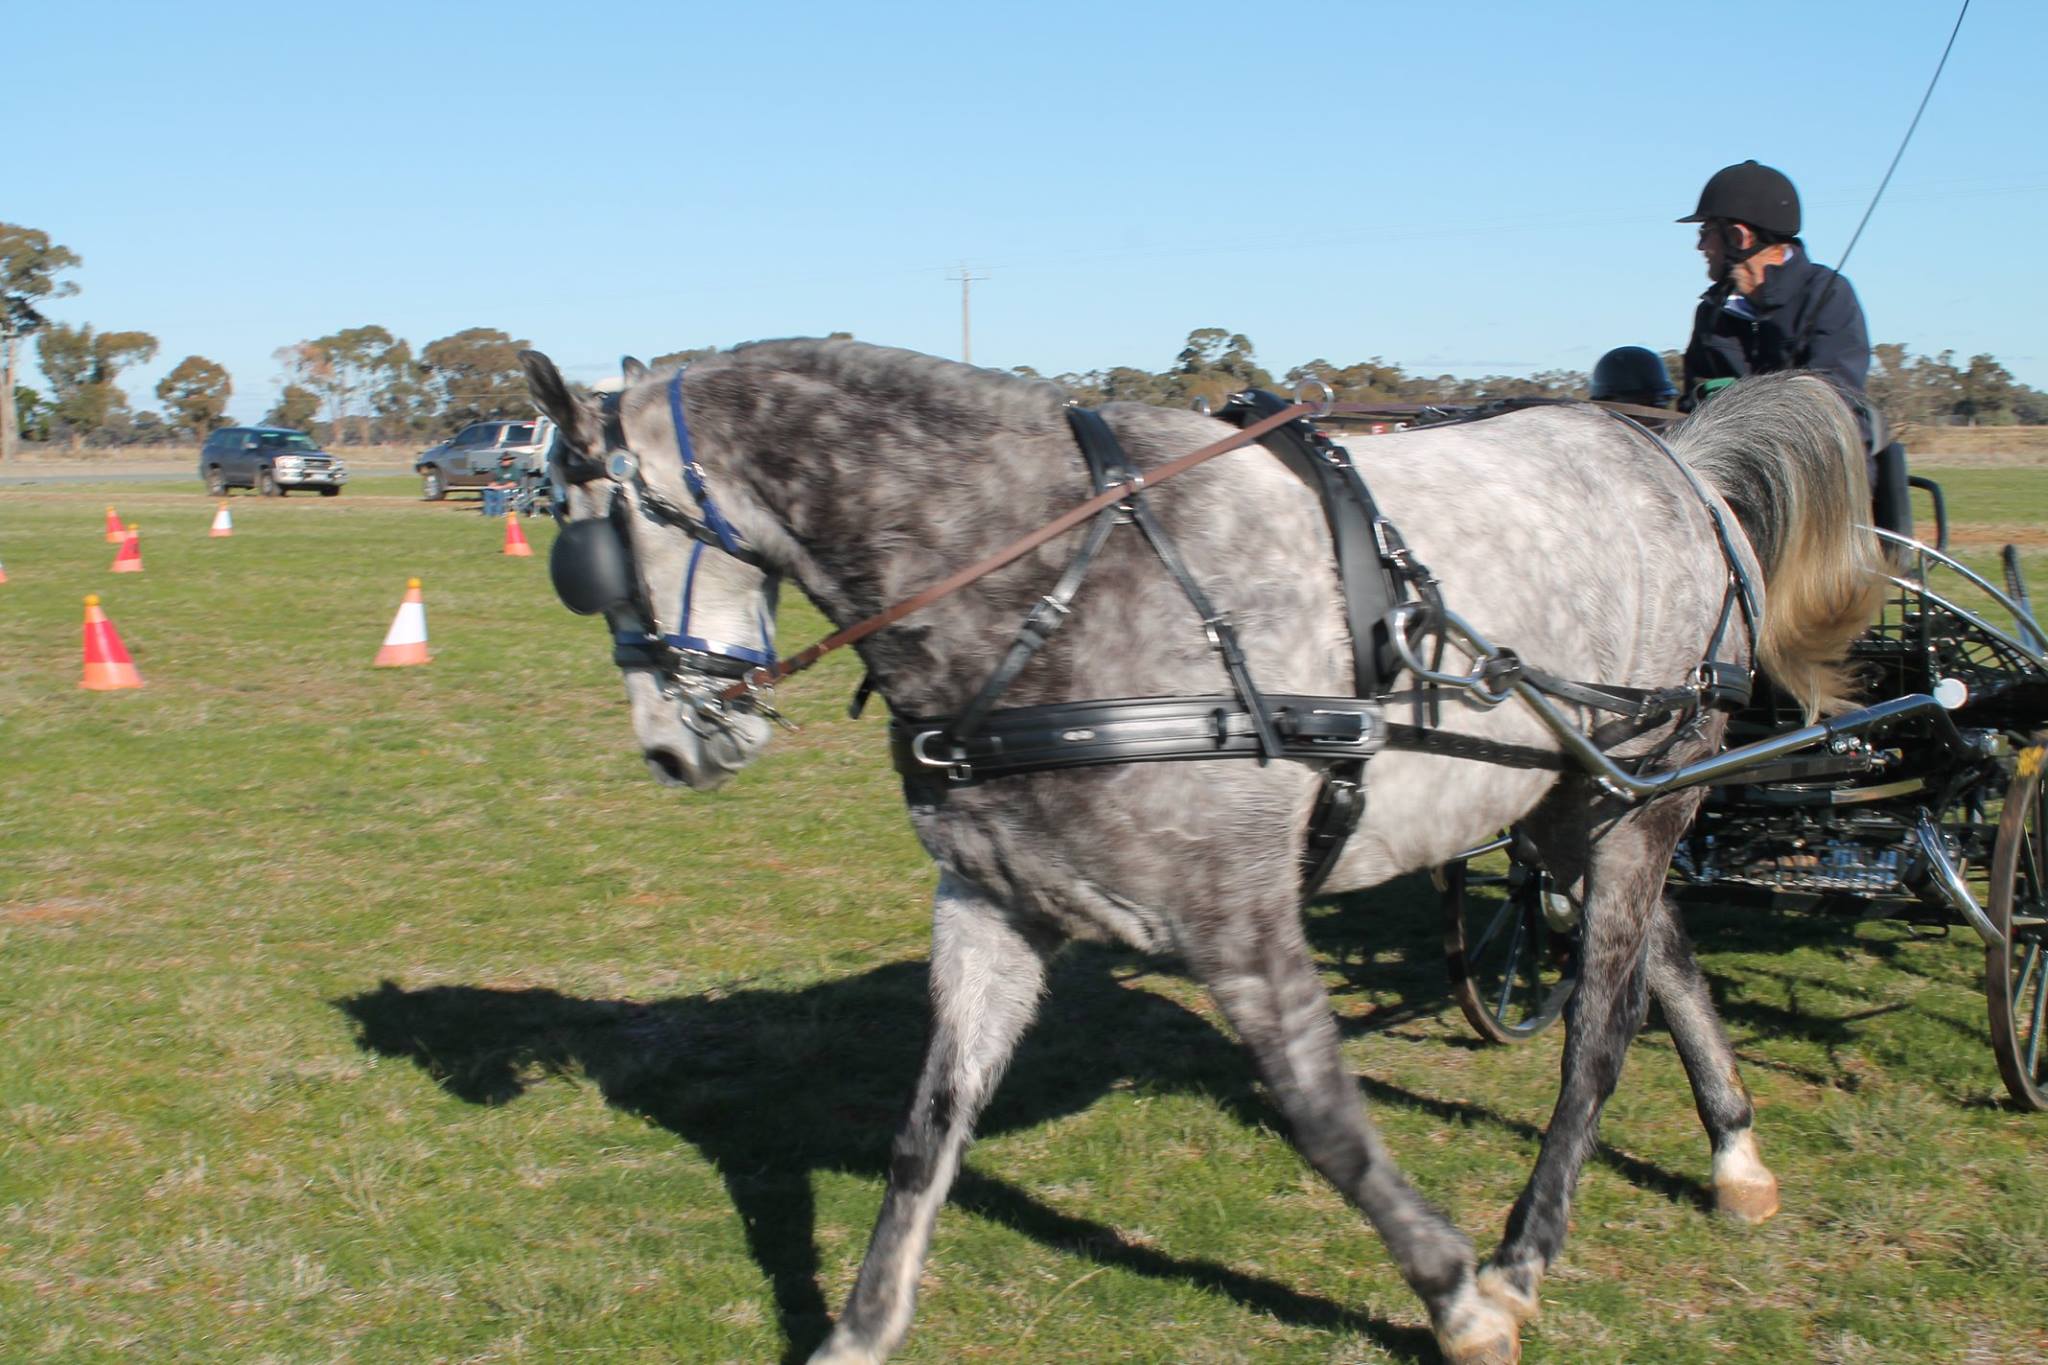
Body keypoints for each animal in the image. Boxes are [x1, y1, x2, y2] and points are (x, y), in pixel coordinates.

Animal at [518, 339, 1882, 1364]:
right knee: (1667, 958)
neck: (1050, 582)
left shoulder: (1238, 922)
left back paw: (1526, 1249)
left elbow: (1326, 1123)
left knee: (1598, 1030)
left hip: (1637, 794)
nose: (671, 750)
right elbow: (925, 1132)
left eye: (581, 551)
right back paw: (1735, 1153)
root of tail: (1672, 457)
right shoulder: (989, 905)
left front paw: (1455, 1299)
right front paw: (858, 1331)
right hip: (1570, 803)